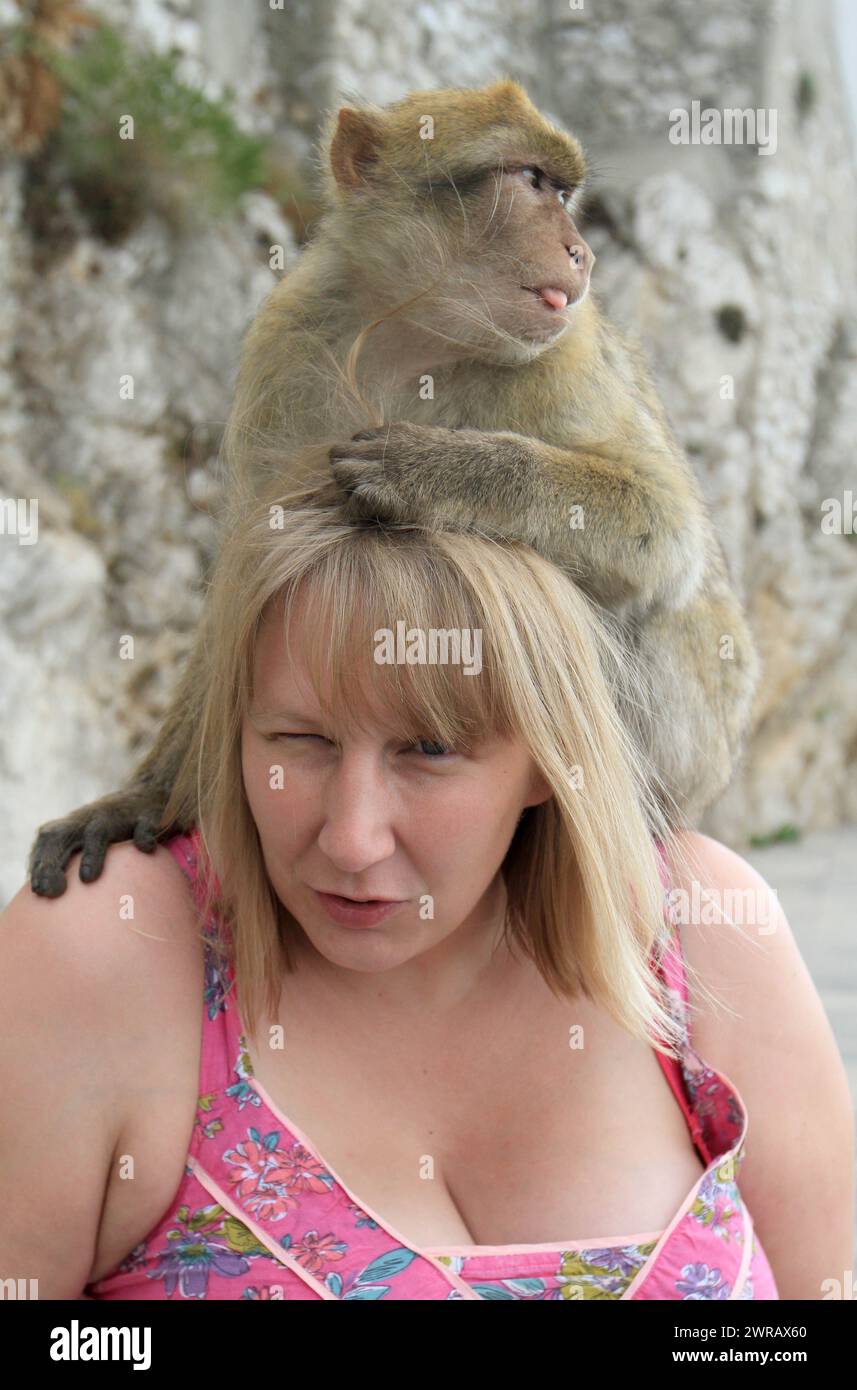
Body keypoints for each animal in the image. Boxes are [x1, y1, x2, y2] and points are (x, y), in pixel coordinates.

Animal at [27, 77, 759, 897]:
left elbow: (667, 531)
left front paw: (428, 470)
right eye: (531, 180)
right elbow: (250, 576)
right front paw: (145, 796)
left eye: (562, 190)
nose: (583, 252)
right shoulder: (287, 343)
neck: (421, 337)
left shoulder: (561, 355)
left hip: (693, 737)